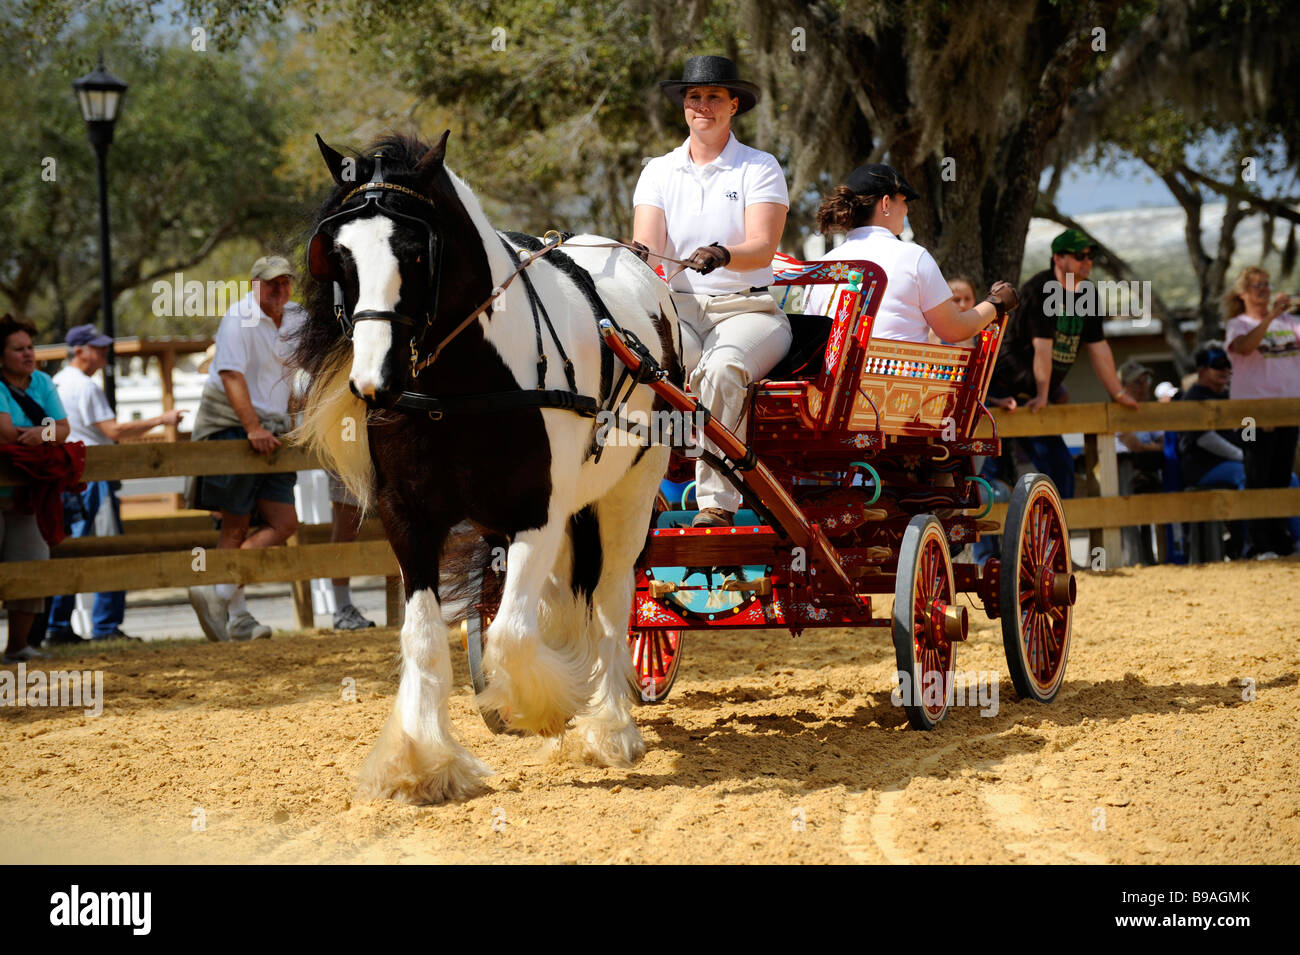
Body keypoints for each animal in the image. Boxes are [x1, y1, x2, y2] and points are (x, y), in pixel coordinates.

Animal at [293, 131, 682, 804]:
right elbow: (426, 637)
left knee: (613, 600)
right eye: (338, 257)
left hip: (630, 492)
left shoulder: (536, 513)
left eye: (415, 252)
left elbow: (510, 633)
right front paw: (422, 762)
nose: (372, 384)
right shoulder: (409, 520)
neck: (462, 386)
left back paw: (608, 726)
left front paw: (550, 707)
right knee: (564, 596)